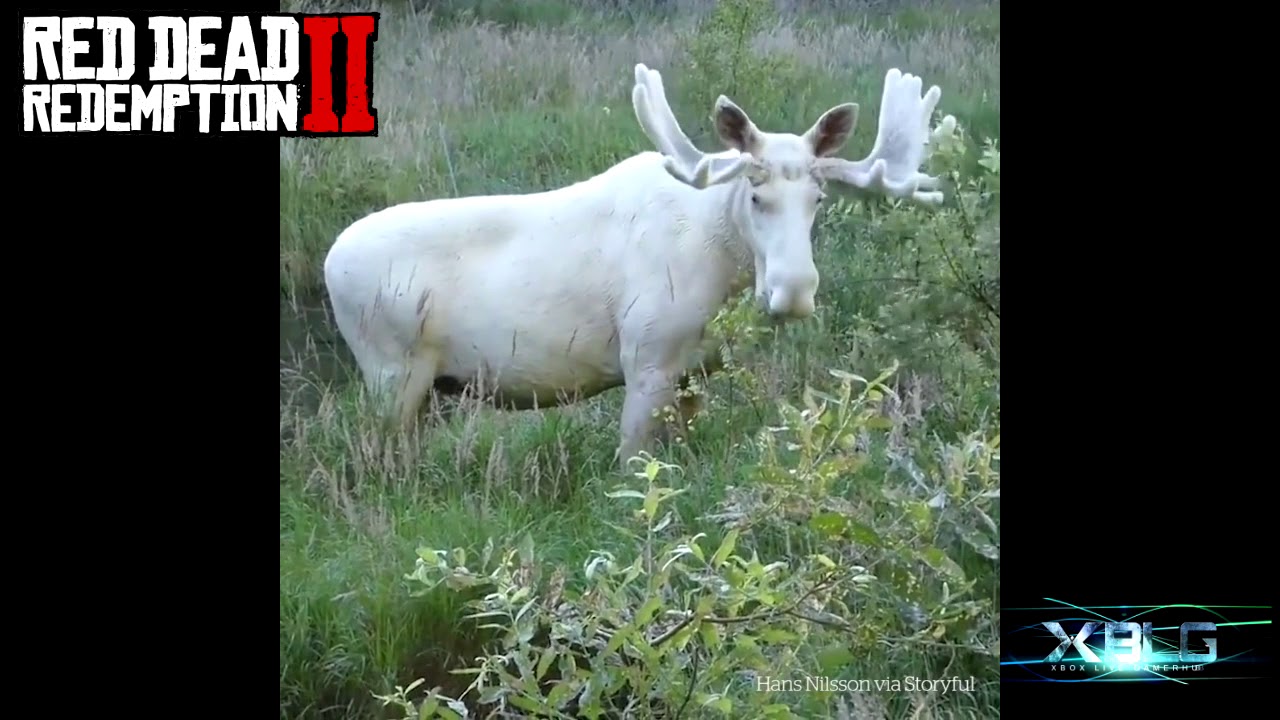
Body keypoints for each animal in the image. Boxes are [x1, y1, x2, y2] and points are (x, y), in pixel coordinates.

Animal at [322, 62, 957, 469]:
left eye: (818, 199)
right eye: (756, 195)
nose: (794, 291)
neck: (723, 269)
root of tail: (329, 261)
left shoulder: (697, 370)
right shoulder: (645, 356)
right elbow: (632, 467)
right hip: (389, 370)